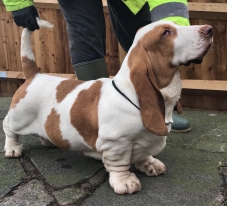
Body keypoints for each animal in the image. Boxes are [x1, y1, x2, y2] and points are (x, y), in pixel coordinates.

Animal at [2, 18, 213, 194]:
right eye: (166, 33)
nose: (209, 29)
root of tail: (34, 75)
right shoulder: (115, 144)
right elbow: (120, 165)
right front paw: (125, 182)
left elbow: (143, 155)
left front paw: (150, 165)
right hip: (19, 118)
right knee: (8, 127)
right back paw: (12, 148)